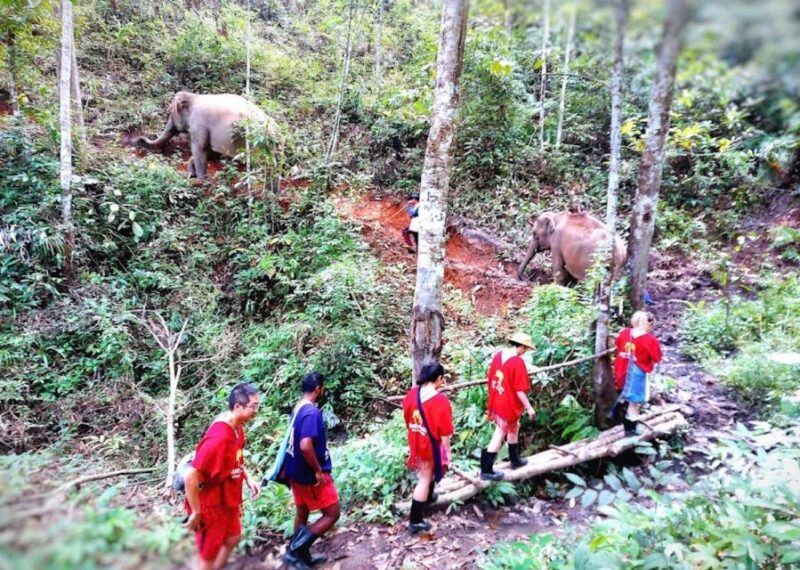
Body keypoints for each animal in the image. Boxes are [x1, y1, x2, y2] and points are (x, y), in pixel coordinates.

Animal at [136, 91, 274, 179]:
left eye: (169, 112)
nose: (139, 139)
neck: (194, 96)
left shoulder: (198, 124)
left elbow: (200, 148)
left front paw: (202, 180)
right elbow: (211, 152)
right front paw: (192, 174)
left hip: (256, 142)